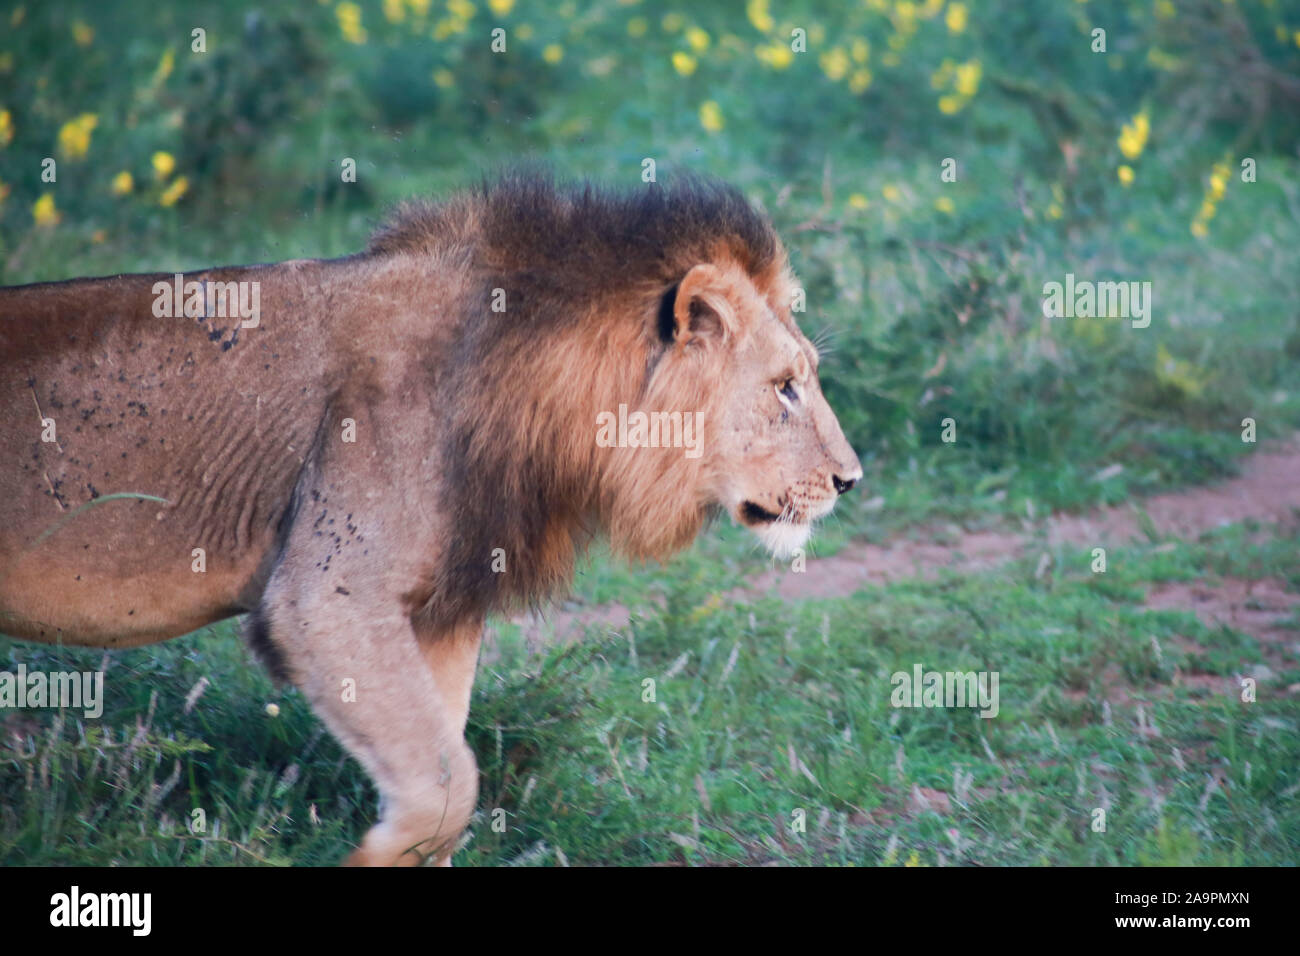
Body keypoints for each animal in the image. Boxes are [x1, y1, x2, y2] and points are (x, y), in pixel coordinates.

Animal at [0, 172, 861, 865]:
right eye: (786, 387)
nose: (851, 479)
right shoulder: (326, 598)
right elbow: (449, 786)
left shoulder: (439, 614)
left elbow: (446, 764)